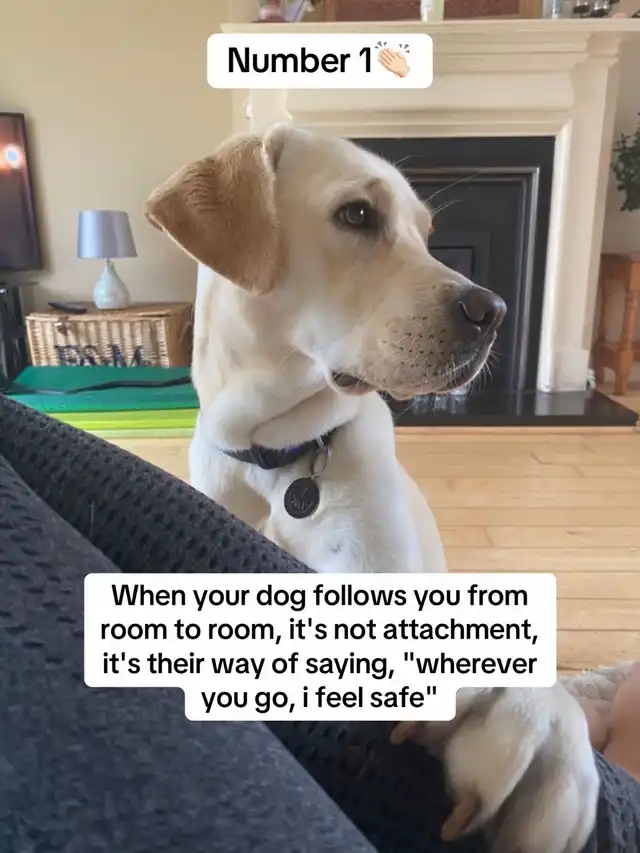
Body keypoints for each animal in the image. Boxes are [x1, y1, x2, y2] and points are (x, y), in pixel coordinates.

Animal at [145, 125, 599, 853]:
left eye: (426, 233)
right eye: (357, 214)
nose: (493, 310)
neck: (278, 456)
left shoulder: (378, 564)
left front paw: (515, 704)